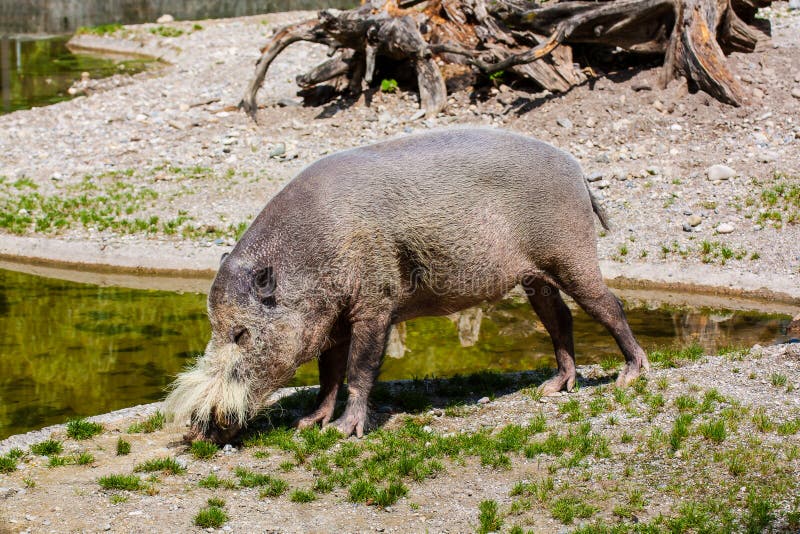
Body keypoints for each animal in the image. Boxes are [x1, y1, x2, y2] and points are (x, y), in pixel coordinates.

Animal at [164, 127, 650, 442]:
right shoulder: (333, 321)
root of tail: (578, 171)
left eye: (241, 333)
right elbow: (327, 374)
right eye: (212, 330)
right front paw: (308, 424)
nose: (192, 434)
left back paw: (629, 377)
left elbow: (359, 369)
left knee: (608, 304)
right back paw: (552, 388)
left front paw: (343, 434)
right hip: (535, 277)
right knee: (560, 317)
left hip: (572, 252)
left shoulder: (375, 304)